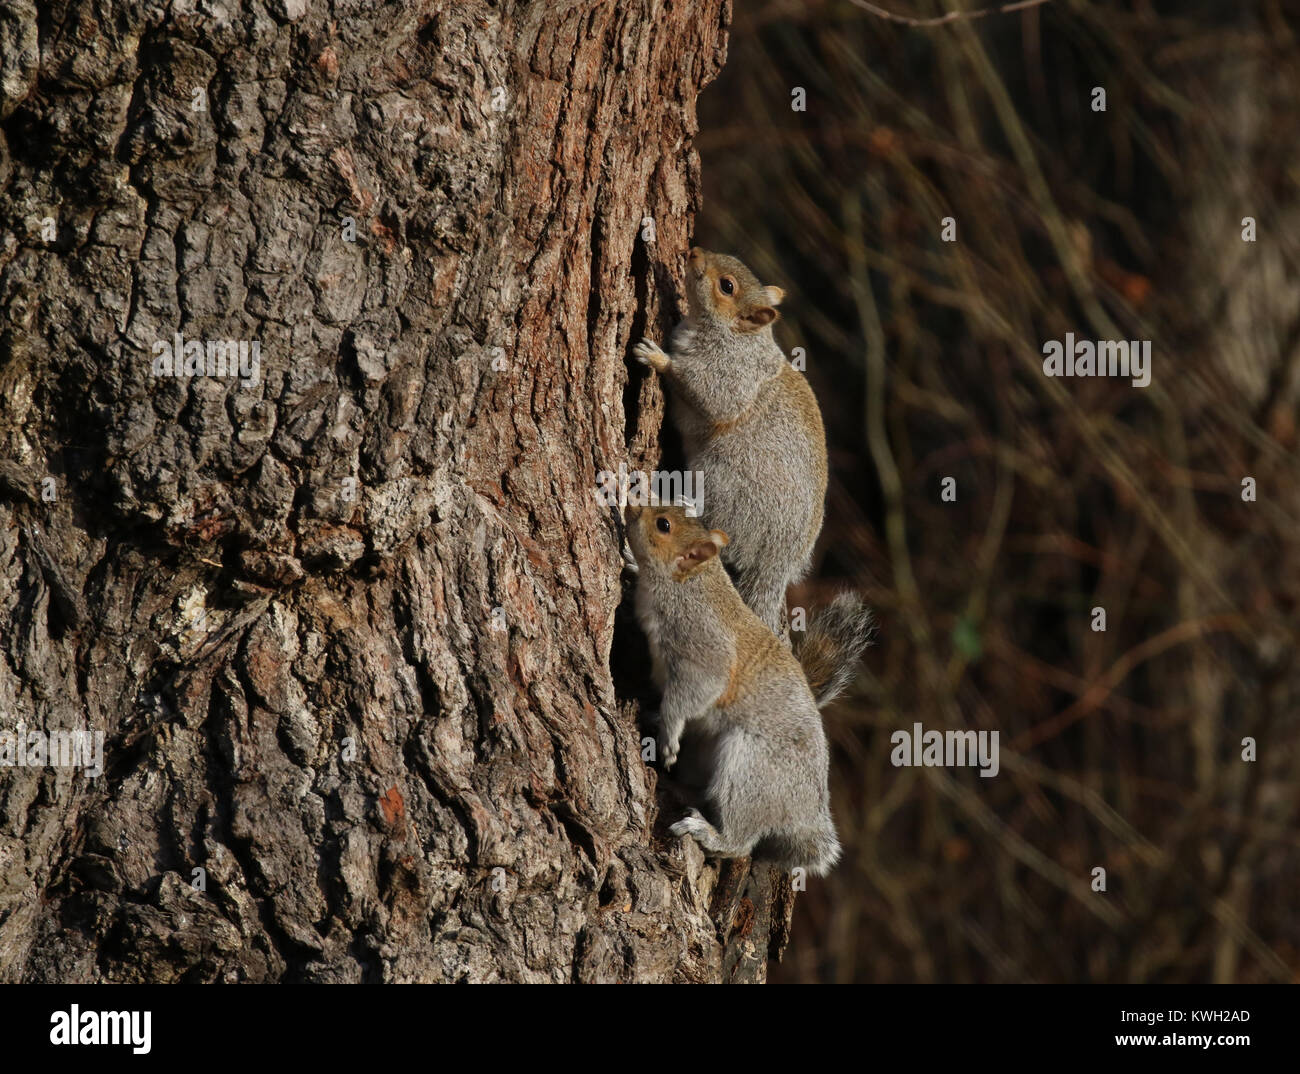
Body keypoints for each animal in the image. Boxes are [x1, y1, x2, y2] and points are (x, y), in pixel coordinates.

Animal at [626, 502, 872, 875]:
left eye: (663, 525)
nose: (632, 507)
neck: (692, 583)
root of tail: (806, 813)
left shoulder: (703, 647)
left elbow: (695, 692)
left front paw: (668, 733)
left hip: (750, 772)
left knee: (740, 841)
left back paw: (711, 834)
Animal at [633, 247, 827, 636]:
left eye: (727, 286)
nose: (693, 251)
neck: (737, 338)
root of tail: (778, 562)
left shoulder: (731, 375)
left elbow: (710, 397)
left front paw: (657, 358)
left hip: (724, 487)